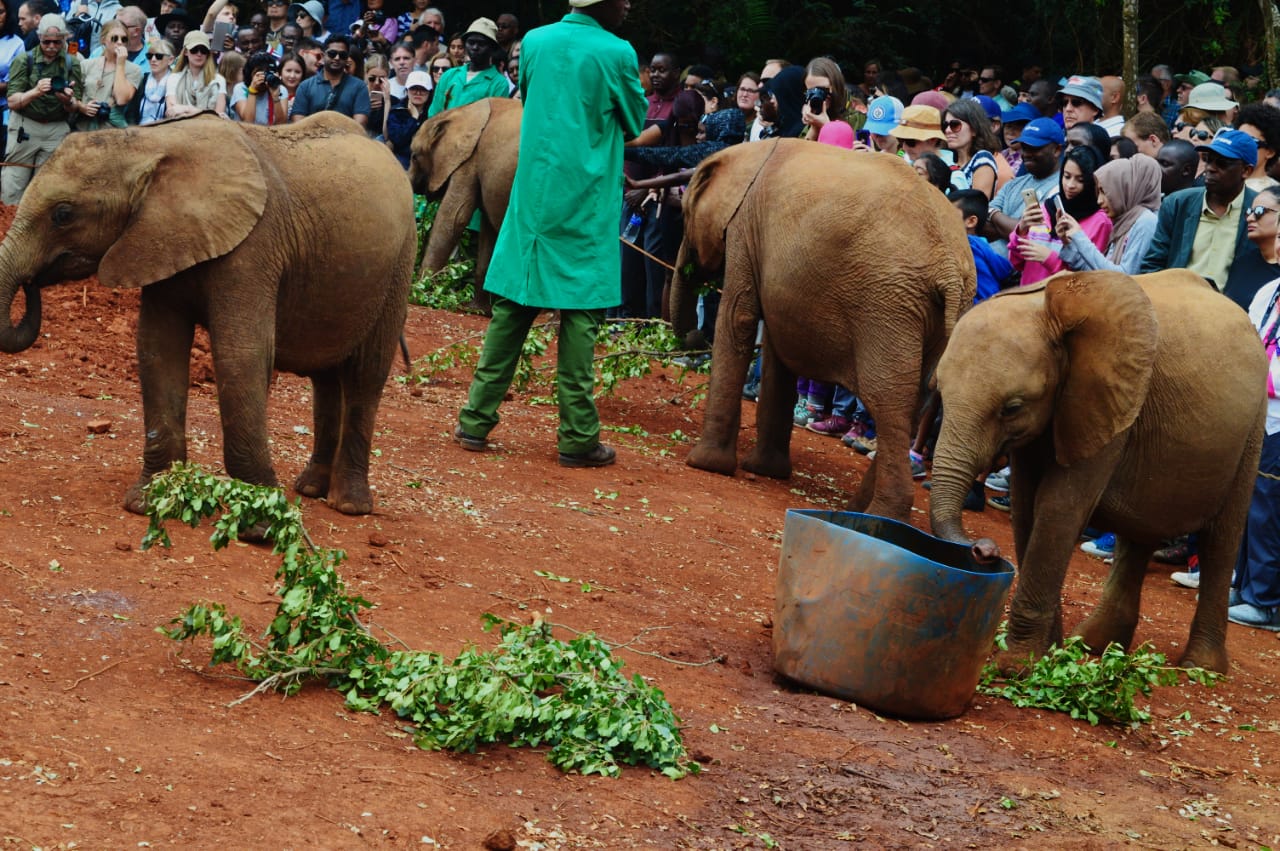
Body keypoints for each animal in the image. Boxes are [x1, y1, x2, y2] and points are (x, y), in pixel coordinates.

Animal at [0, 112, 416, 516]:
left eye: (63, 214)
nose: (33, 283)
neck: (148, 142)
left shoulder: (254, 248)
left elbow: (240, 355)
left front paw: (262, 513)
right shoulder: (159, 243)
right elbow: (157, 350)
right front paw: (149, 501)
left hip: (399, 266)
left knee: (366, 375)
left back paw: (349, 505)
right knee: (325, 379)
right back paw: (310, 488)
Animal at [409, 97, 521, 313]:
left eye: (414, 156)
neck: (461, 110)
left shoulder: (469, 161)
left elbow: (454, 217)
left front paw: (419, 292)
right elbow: (488, 232)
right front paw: (477, 310)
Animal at [670, 138, 976, 521]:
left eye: (683, 216)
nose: (692, 337)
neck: (746, 153)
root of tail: (950, 266)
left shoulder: (745, 229)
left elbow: (739, 318)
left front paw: (705, 464)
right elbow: (778, 350)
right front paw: (765, 470)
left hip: (889, 305)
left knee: (889, 401)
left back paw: (880, 516)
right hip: (941, 314)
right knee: (912, 404)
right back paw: (858, 511)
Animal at [929, 269, 1267, 674]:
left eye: (1012, 407)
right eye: (939, 391)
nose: (984, 550)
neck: (1044, 305)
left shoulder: (1112, 407)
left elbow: (1058, 509)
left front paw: (1017, 665)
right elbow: (1027, 507)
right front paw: (1051, 653)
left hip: (1252, 431)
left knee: (1222, 538)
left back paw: (1199, 668)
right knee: (1139, 535)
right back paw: (1093, 644)